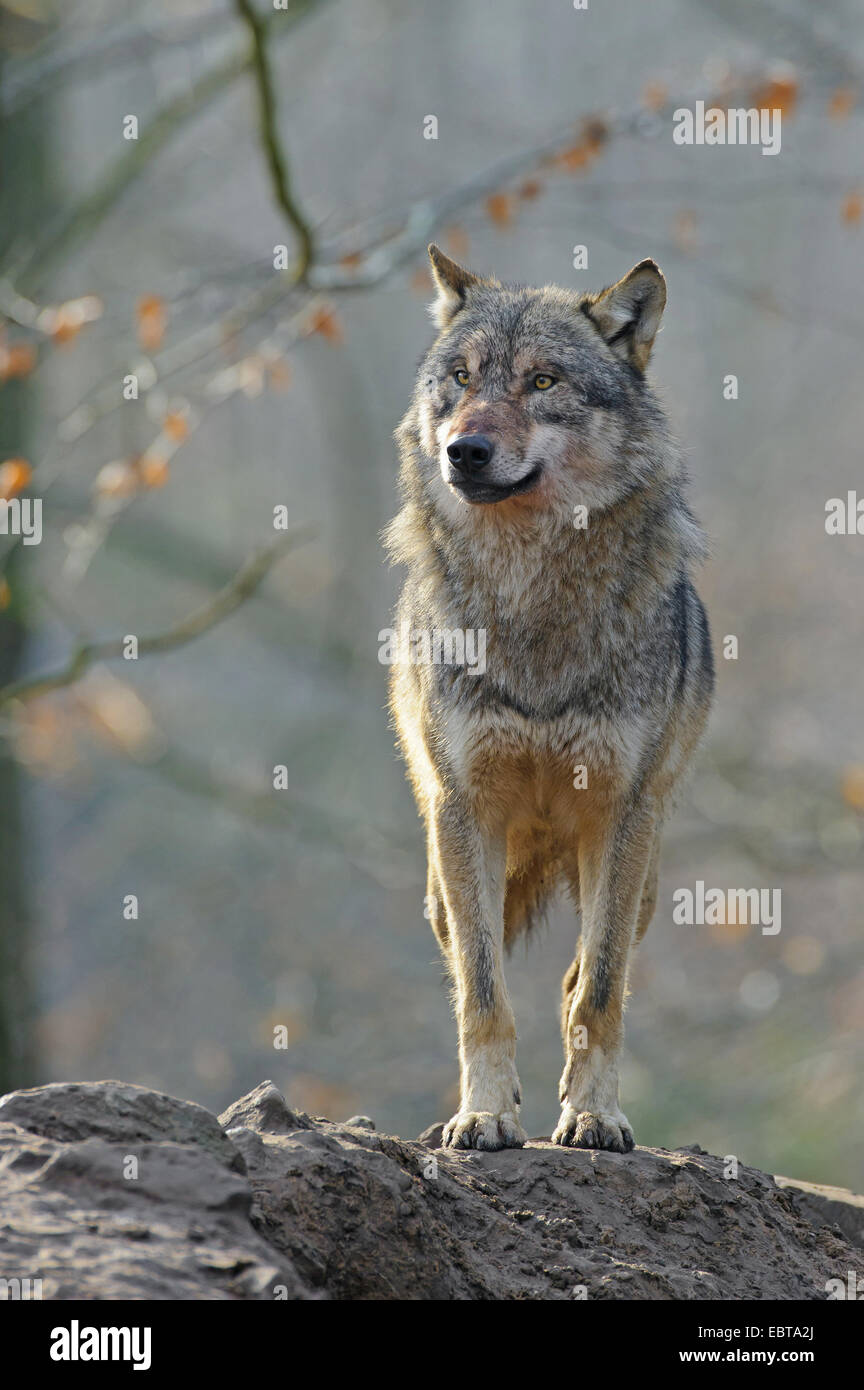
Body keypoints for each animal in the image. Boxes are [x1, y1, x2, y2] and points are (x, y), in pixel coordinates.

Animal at [384, 244, 713, 1152]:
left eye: (541, 381)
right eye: (461, 378)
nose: (465, 450)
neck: (532, 596)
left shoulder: (622, 811)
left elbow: (599, 992)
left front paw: (594, 1114)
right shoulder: (465, 808)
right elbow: (482, 994)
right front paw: (485, 1115)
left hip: (640, 869)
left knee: (584, 975)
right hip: (444, 881)